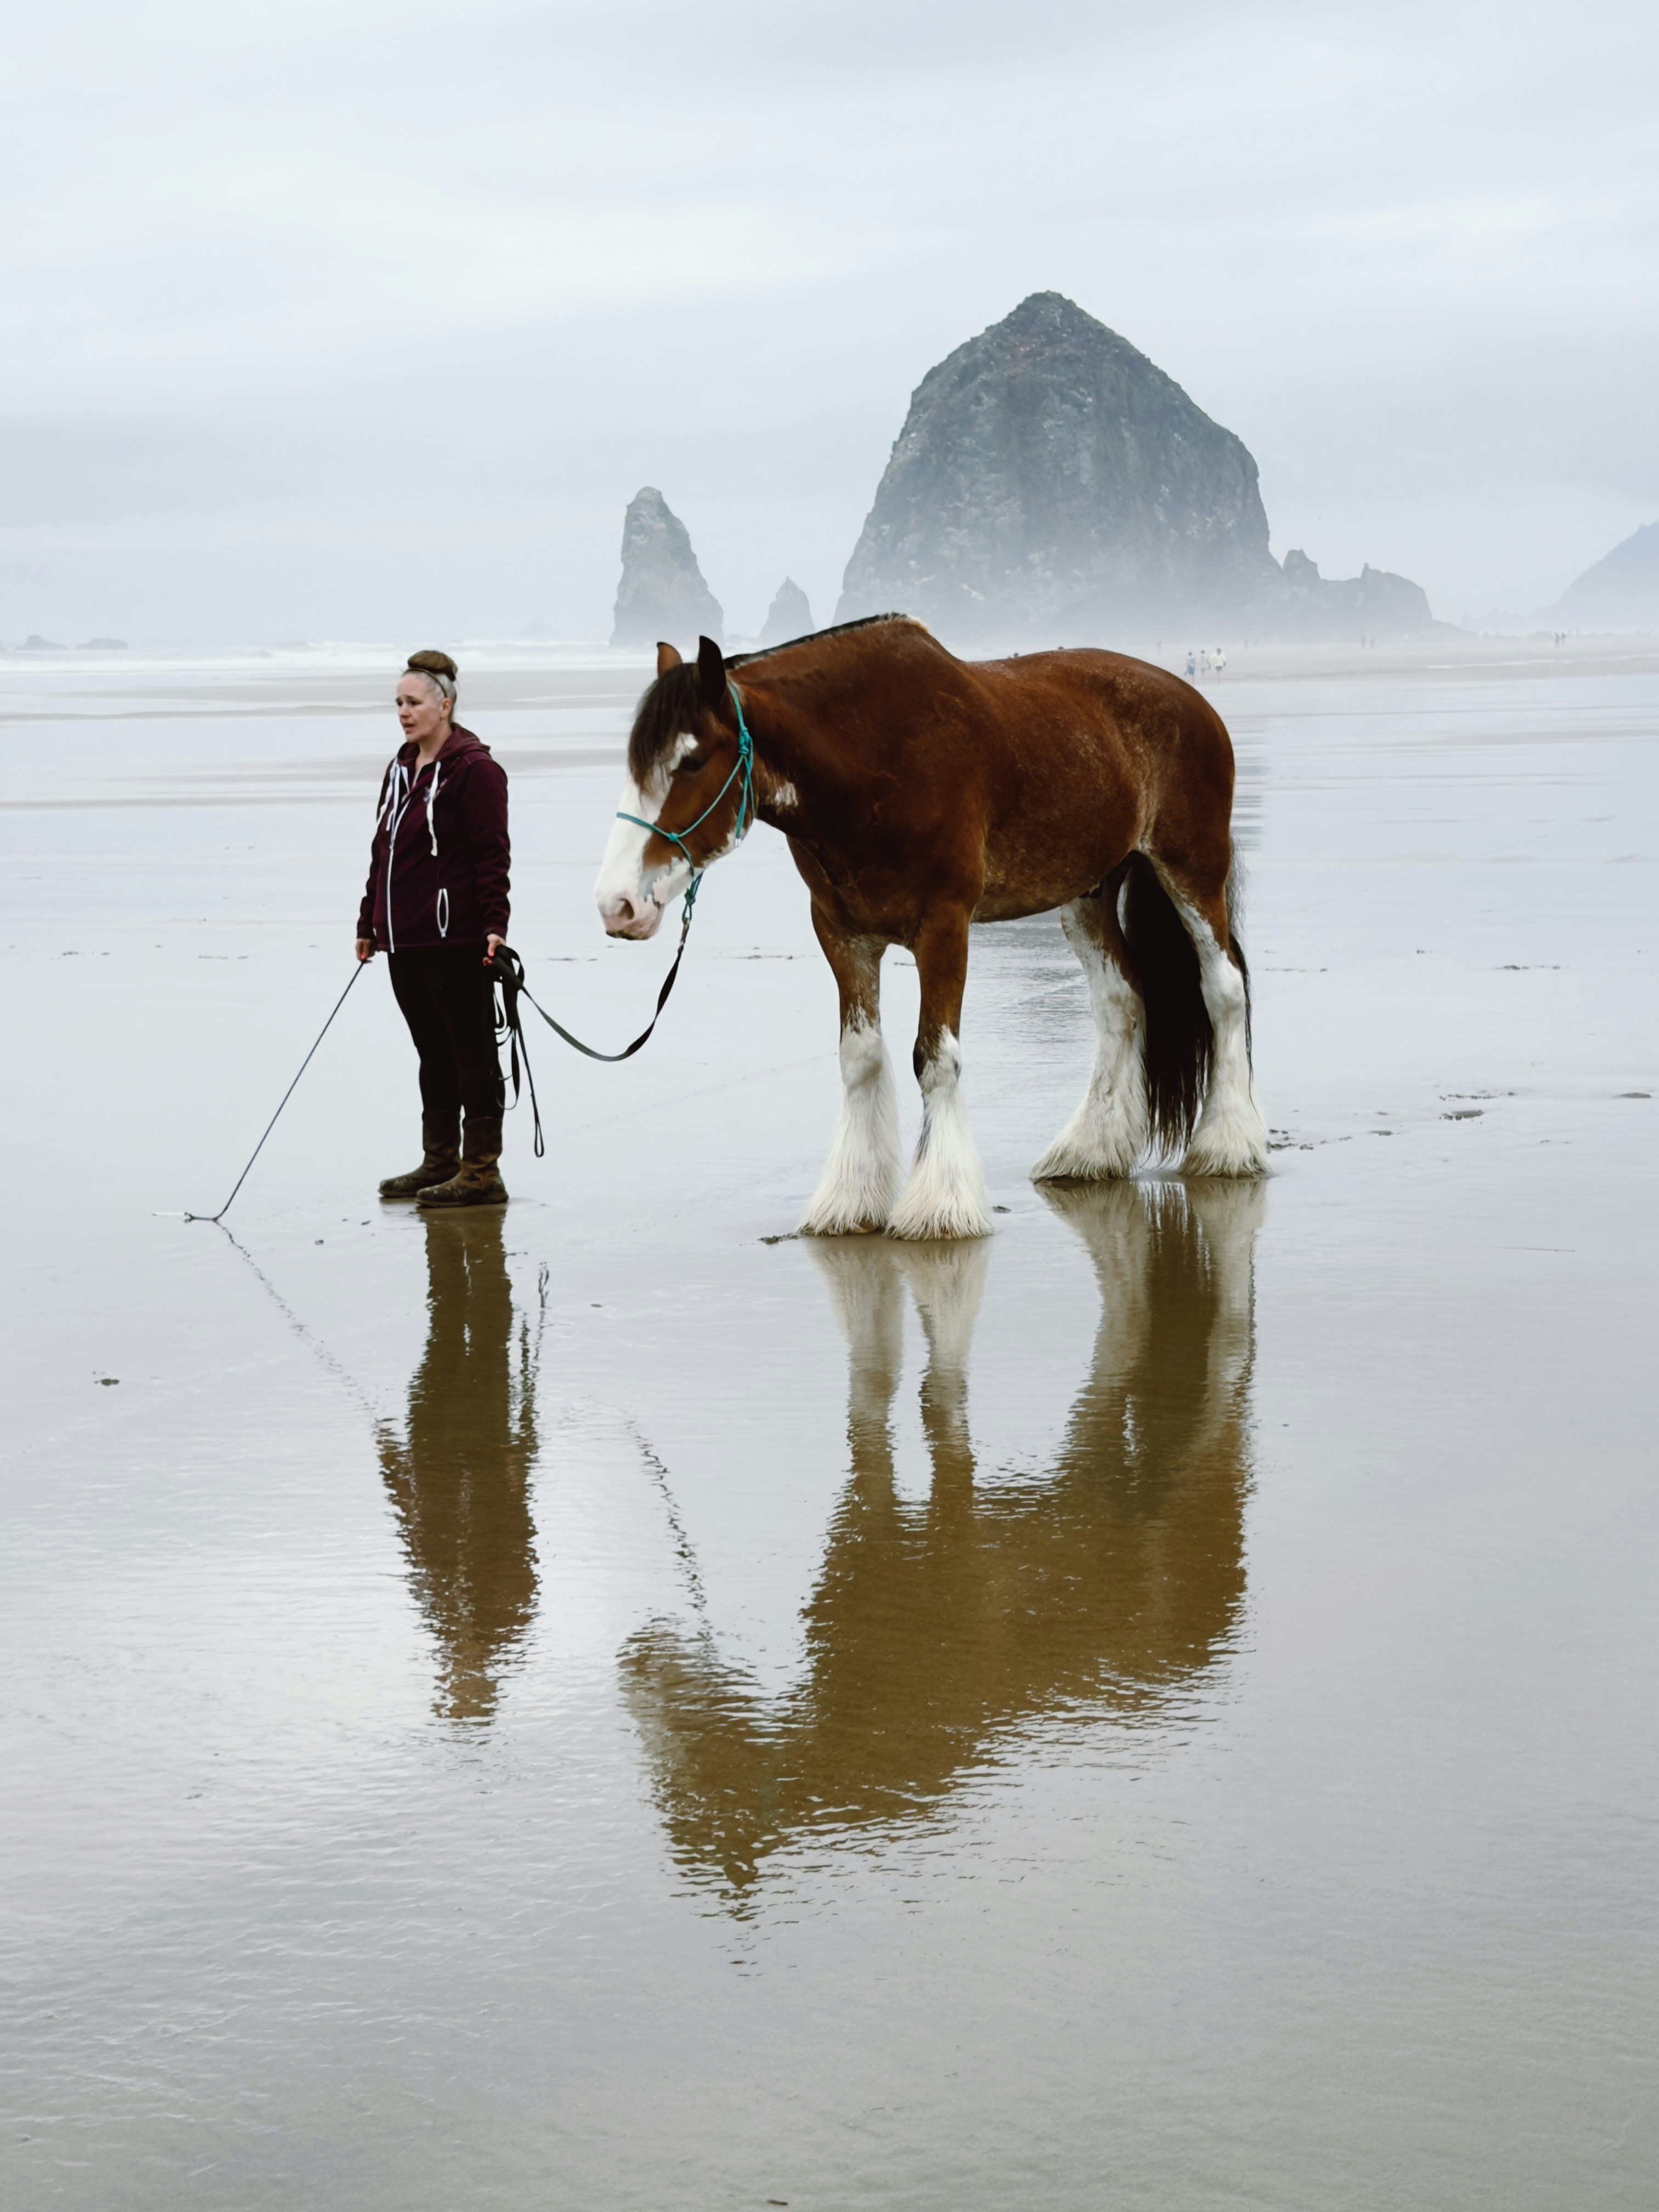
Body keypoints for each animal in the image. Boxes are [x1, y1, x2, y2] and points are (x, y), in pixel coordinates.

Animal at [593, 617, 1267, 1240]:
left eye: (691, 760)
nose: (616, 904)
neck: (872, 764)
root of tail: (1193, 700)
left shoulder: (945, 927)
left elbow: (935, 1058)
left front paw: (941, 1206)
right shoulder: (841, 935)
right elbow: (861, 1058)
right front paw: (851, 1201)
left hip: (1191, 868)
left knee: (1223, 989)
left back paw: (1227, 1146)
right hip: (1090, 892)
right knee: (1121, 999)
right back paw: (1090, 1150)